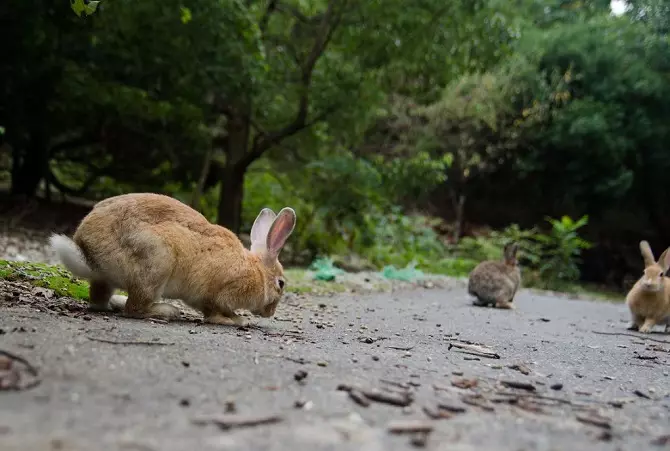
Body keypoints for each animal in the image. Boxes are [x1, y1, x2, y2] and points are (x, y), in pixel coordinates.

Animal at [50, 192, 296, 326]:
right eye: (281, 284)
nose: (270, 313)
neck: (257, 272)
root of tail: (87, 251)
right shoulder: (222, 293)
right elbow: (216, 312)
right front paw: (237, 321)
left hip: (111, 279)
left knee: (99, 300)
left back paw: (112, 304)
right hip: (156, 263)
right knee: (134, 308)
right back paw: (167, 311)